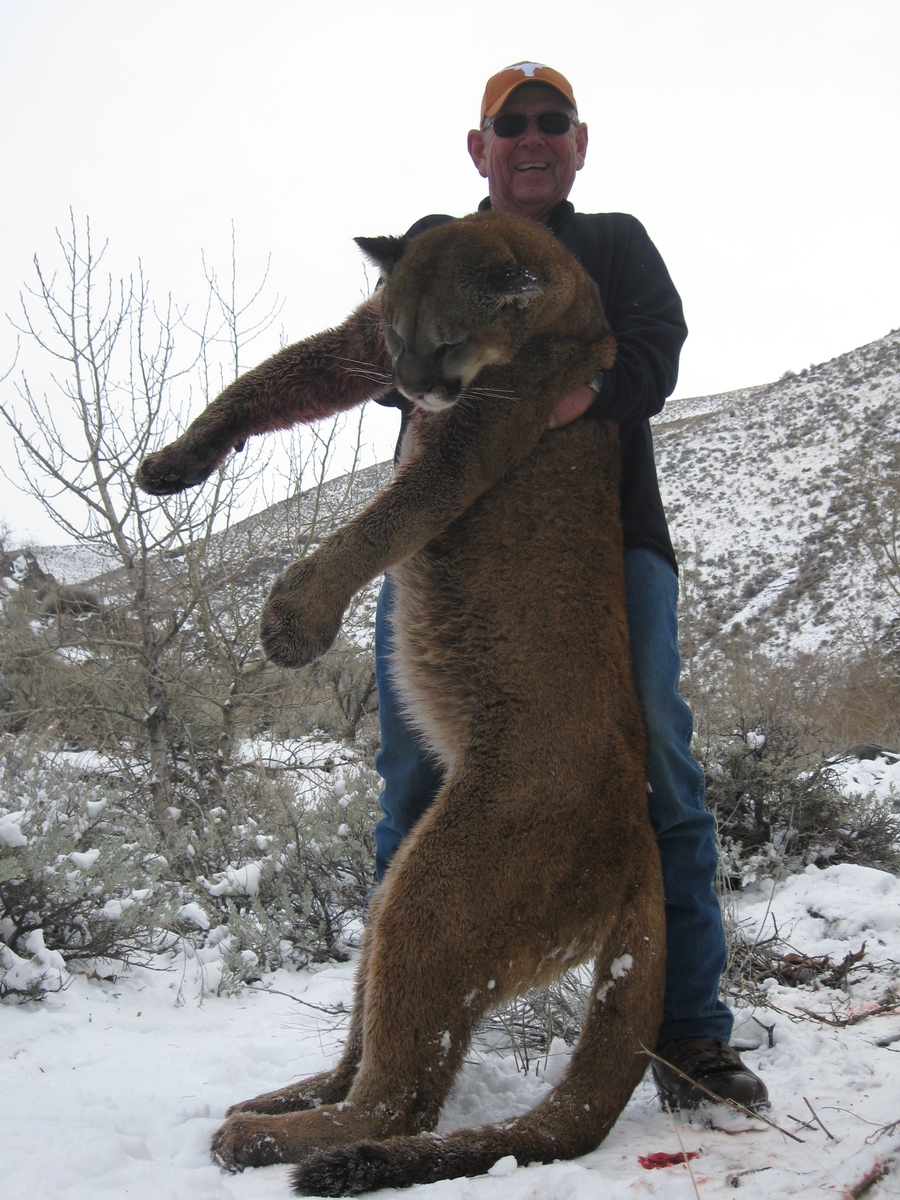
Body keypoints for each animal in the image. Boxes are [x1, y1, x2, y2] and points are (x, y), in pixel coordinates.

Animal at [137, 210, 665, 1196]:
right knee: (384, 1056)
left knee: (401, 1100)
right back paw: (286, 1100)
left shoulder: (480, 432)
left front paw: (293, 620)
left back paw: (269, 1140)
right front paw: (173, 463)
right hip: (401, 885)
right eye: (397, 337)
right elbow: (264, 383)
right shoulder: (360, 347)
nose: (413, 386)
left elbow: (380, 521)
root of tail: (641, 843)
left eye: (449, 341)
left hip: (448, 890)